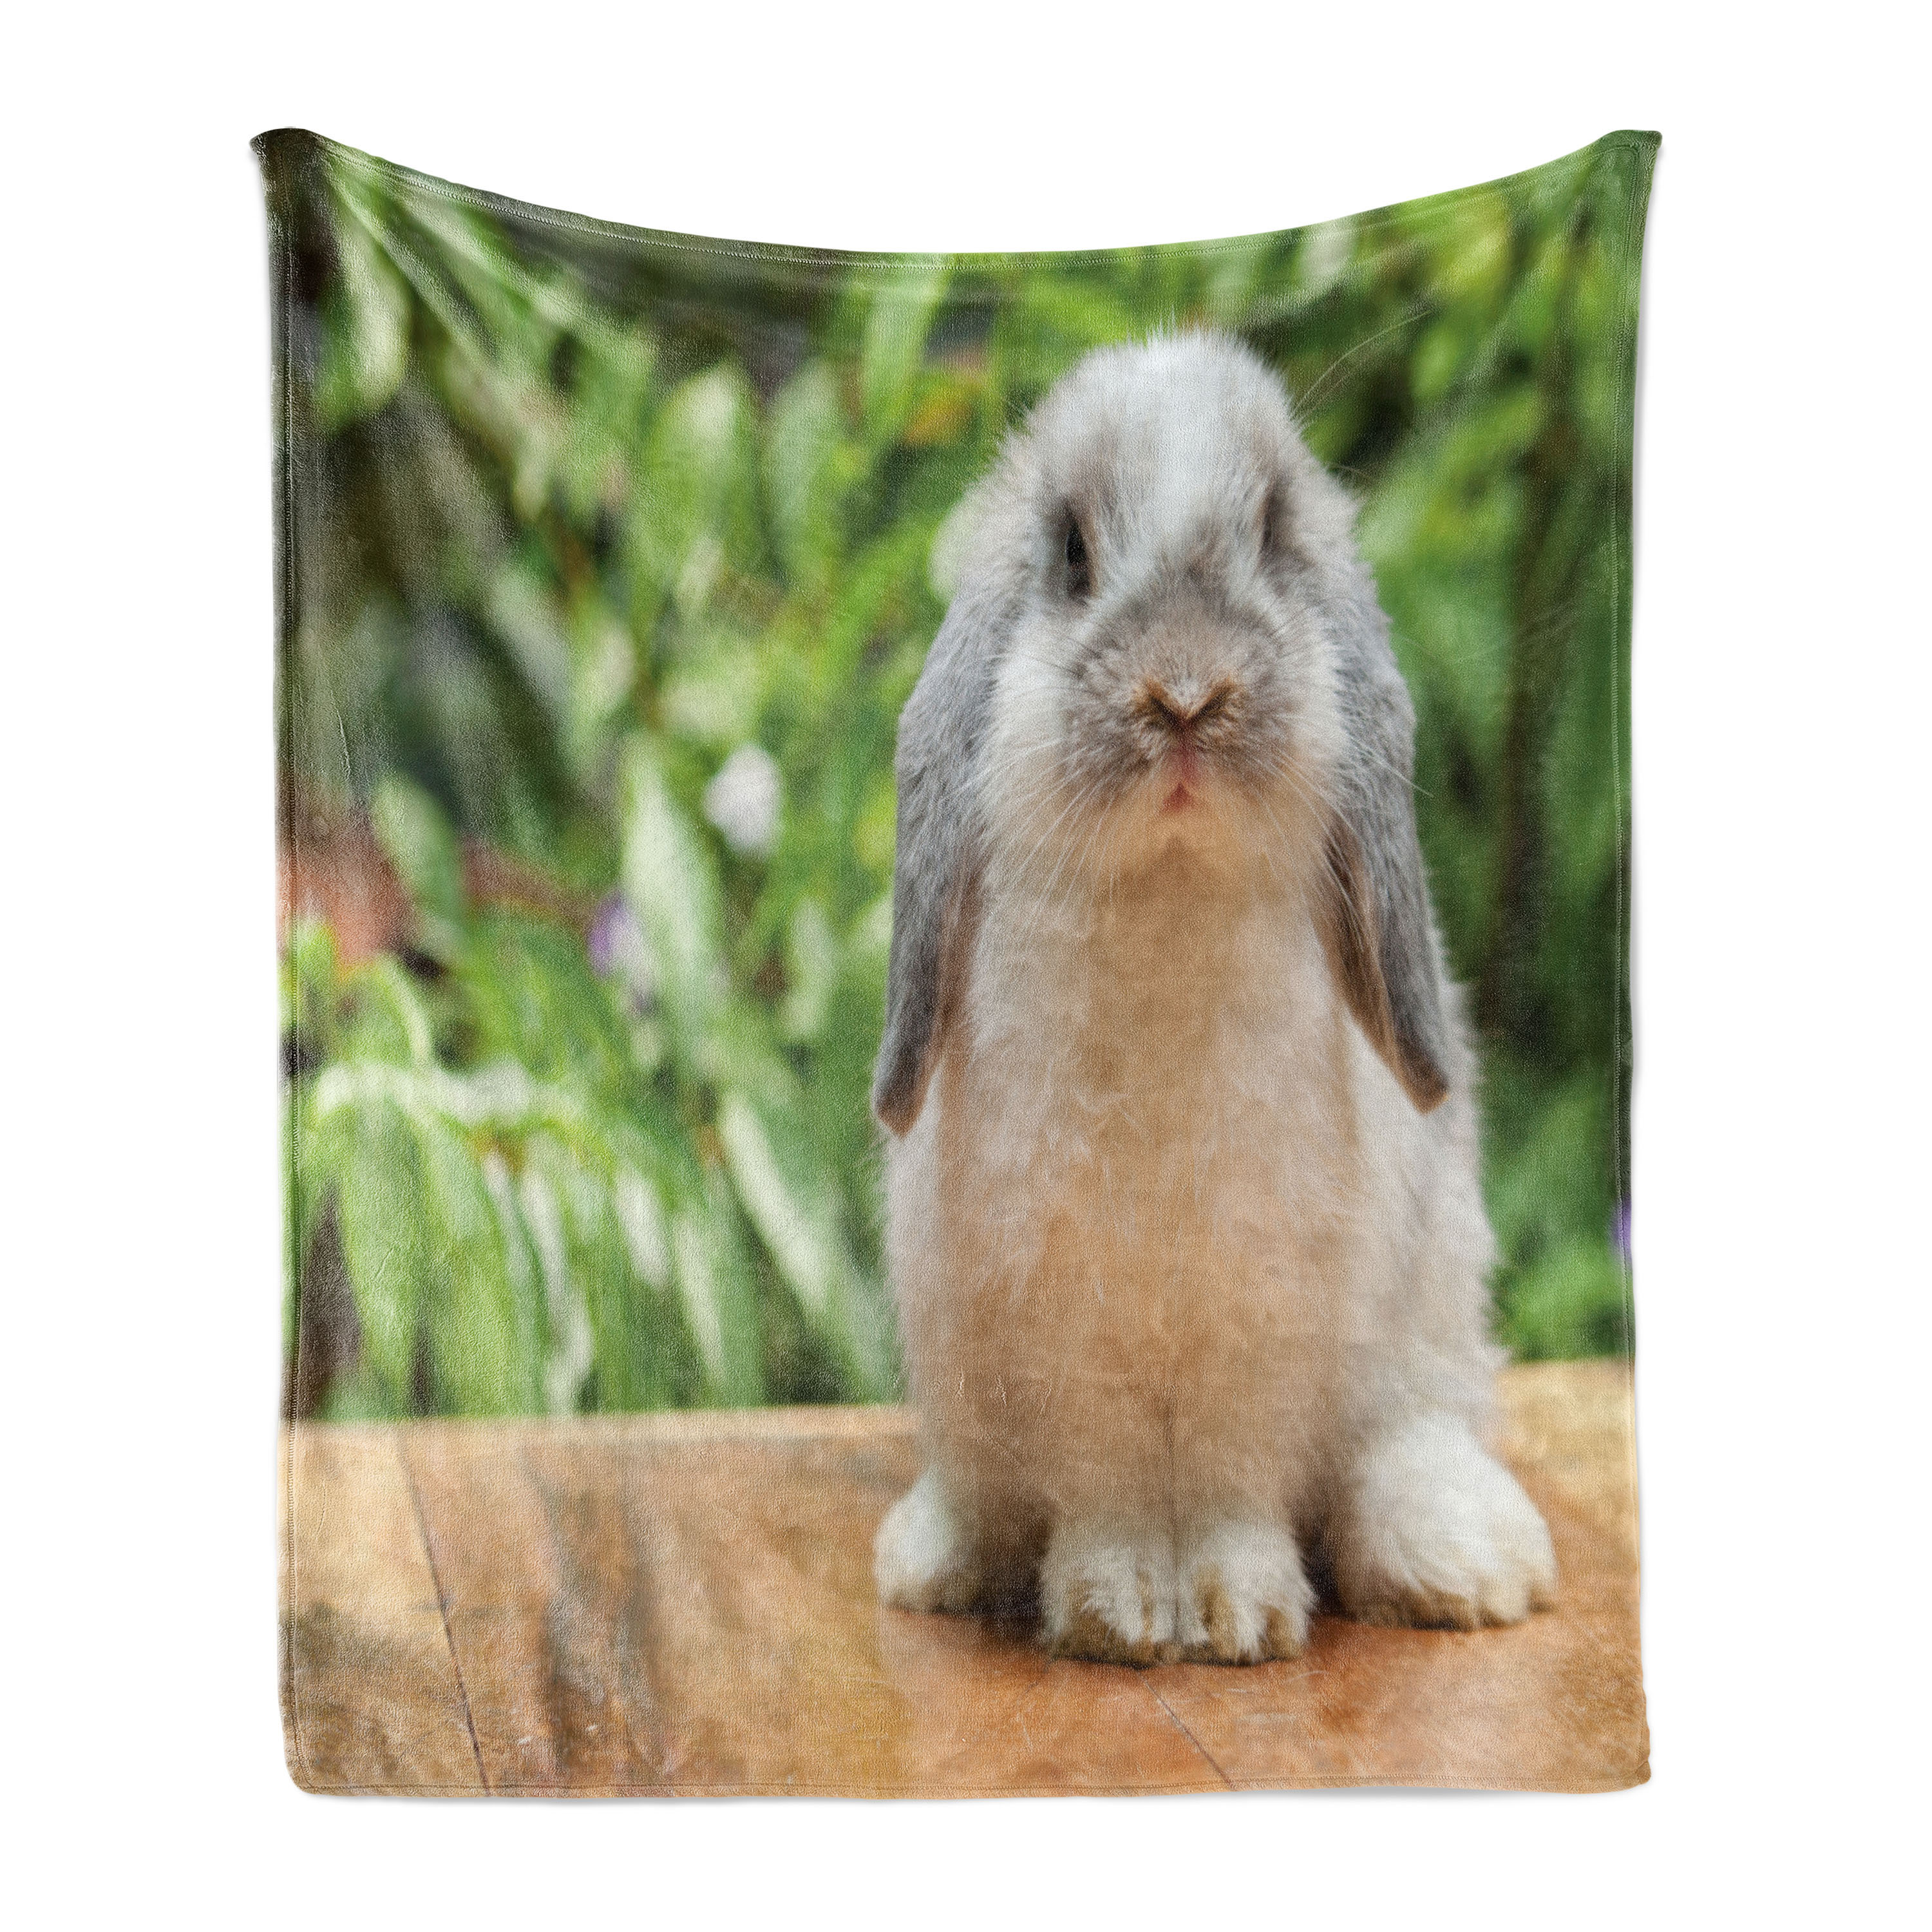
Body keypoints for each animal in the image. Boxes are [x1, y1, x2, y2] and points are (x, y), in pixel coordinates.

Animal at [869, 331, 1556, 1665]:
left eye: (1276, 536)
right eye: (1072, 554)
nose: (1185, 693)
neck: (1169, 899)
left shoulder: (1264, 1326)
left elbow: (1238, 1491)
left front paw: (1241, 1619)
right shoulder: (1065, 1339)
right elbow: (1111, 1494)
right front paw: (1121, 1617)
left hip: (1425, 1323)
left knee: (1408, 1440)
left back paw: (1467, 1567)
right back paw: (938, 1561)